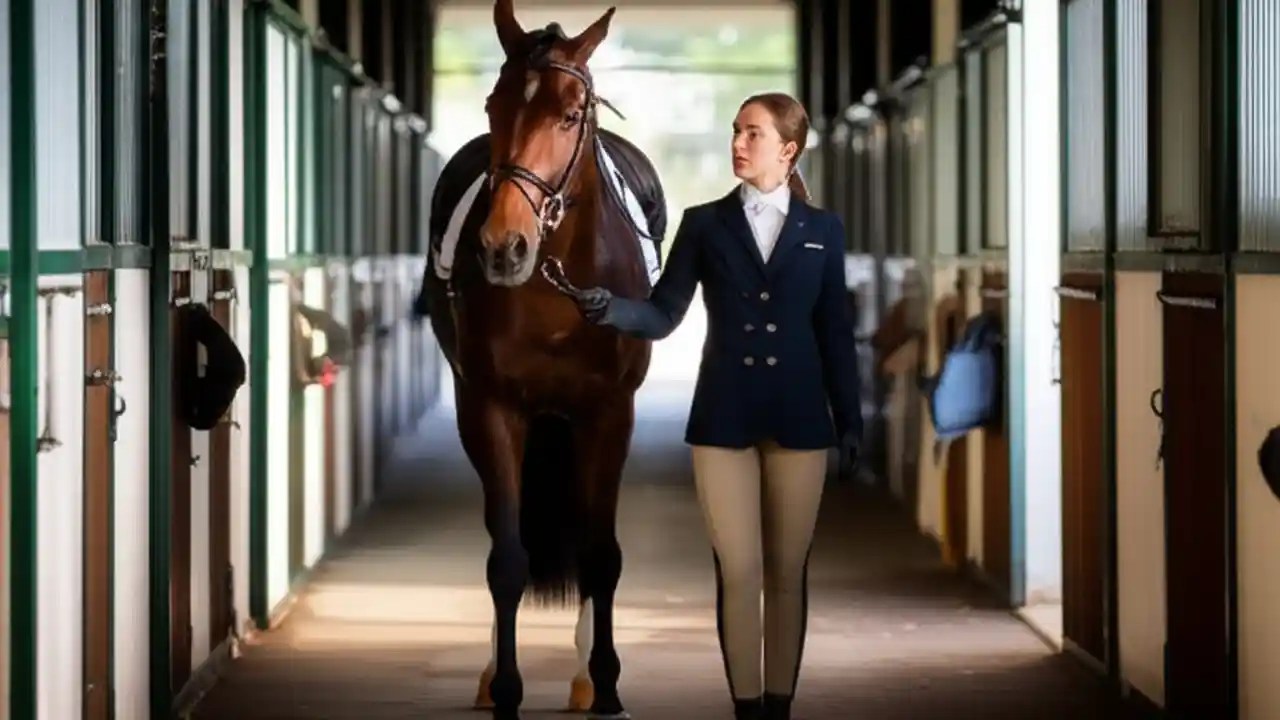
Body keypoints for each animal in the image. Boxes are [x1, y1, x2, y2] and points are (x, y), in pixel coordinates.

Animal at [413, 2, 667, 718]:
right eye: (494, 105)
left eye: (571, 114)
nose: (505, 247)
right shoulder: (490, 409)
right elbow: (507, 558)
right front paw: (505, 689)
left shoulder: (608, 414)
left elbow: (600, 555)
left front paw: (606, 687)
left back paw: (582, 677)